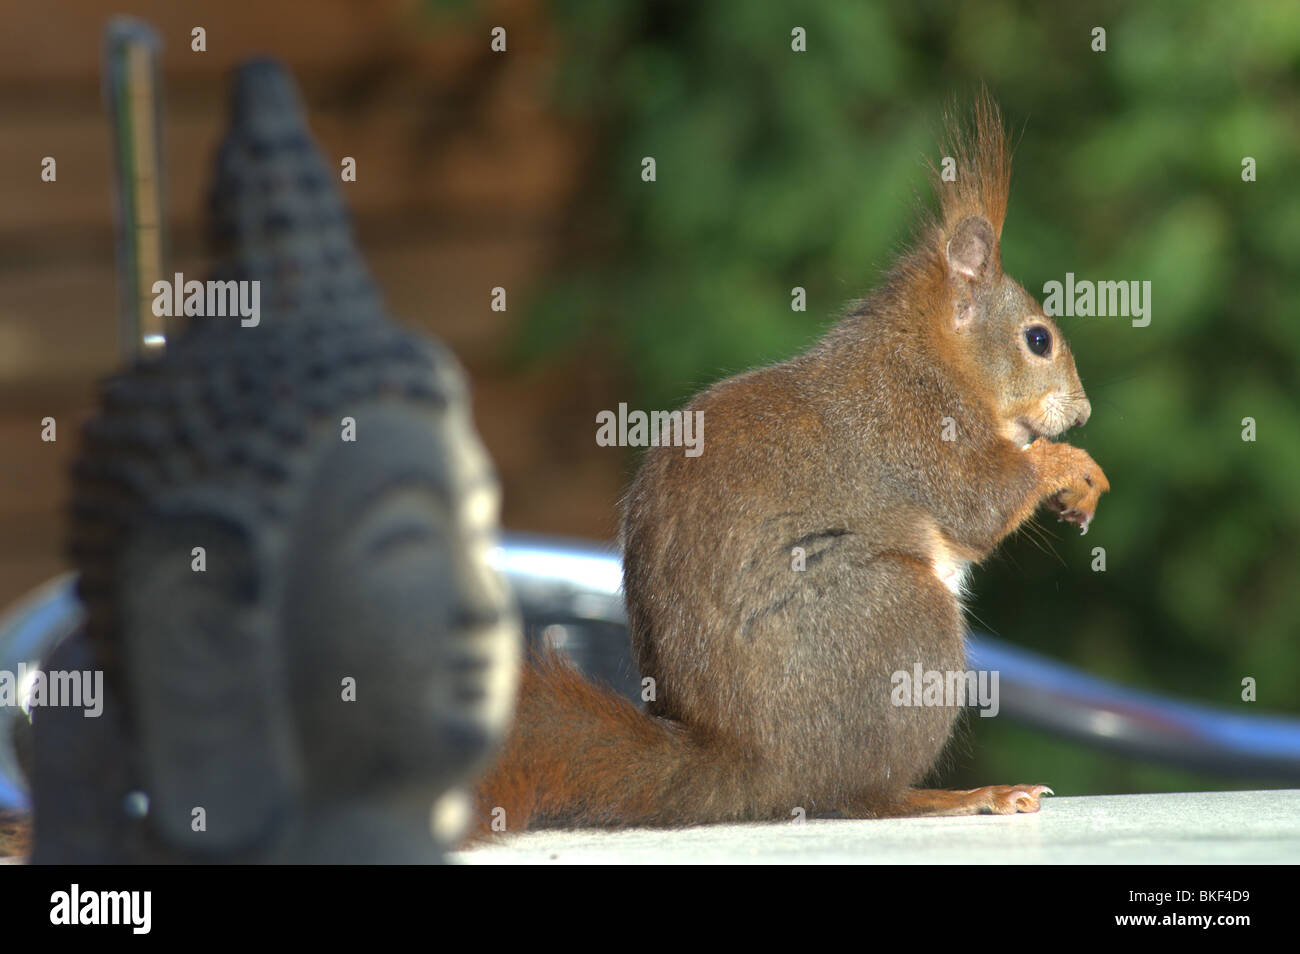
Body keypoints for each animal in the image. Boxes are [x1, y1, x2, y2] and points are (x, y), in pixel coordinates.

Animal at [474, 94, 1109, 832]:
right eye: (1038, 340)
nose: (1083, 412)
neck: (927, 360)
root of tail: (756, 763)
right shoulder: (920, 430)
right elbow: (982, 501)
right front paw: (1070, 464)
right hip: (901, 626)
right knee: (864, 796)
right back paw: (963, 795)